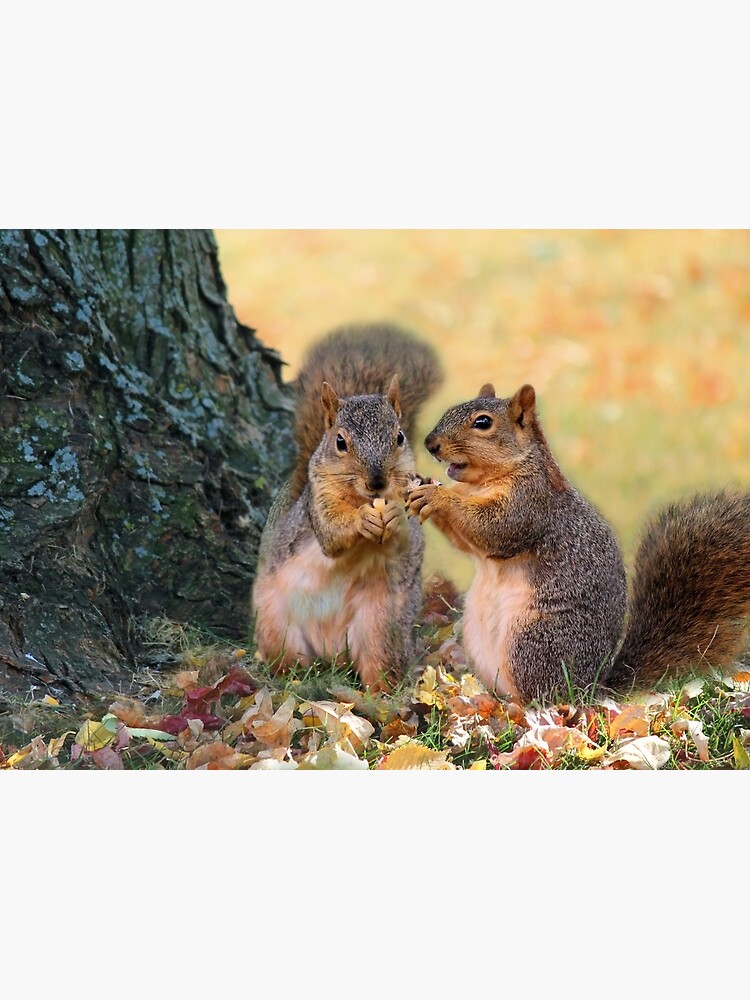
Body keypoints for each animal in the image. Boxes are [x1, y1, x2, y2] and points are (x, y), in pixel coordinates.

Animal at [252, 323, 443, 691]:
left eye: (399, 437)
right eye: (340, 442)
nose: (377, 481)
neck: (362, 500)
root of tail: (330, 650)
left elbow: (404, 542)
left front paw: (394, 517)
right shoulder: (316, 504)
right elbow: (331, 535)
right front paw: (360, 523)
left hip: (381, 624)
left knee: (378, 663)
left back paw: (380, 692)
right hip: (275, 624)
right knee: (288, 661)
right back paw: (292, 681)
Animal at [407, 382, 750, 704]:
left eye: (483, 422)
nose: (430, 444)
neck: (482, 484)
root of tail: (590, 689)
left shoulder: (531, 505)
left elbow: (495, 530)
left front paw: (437, 496)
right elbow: (466, 542)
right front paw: (423, 487)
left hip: (534, 639)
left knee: (540, 696)